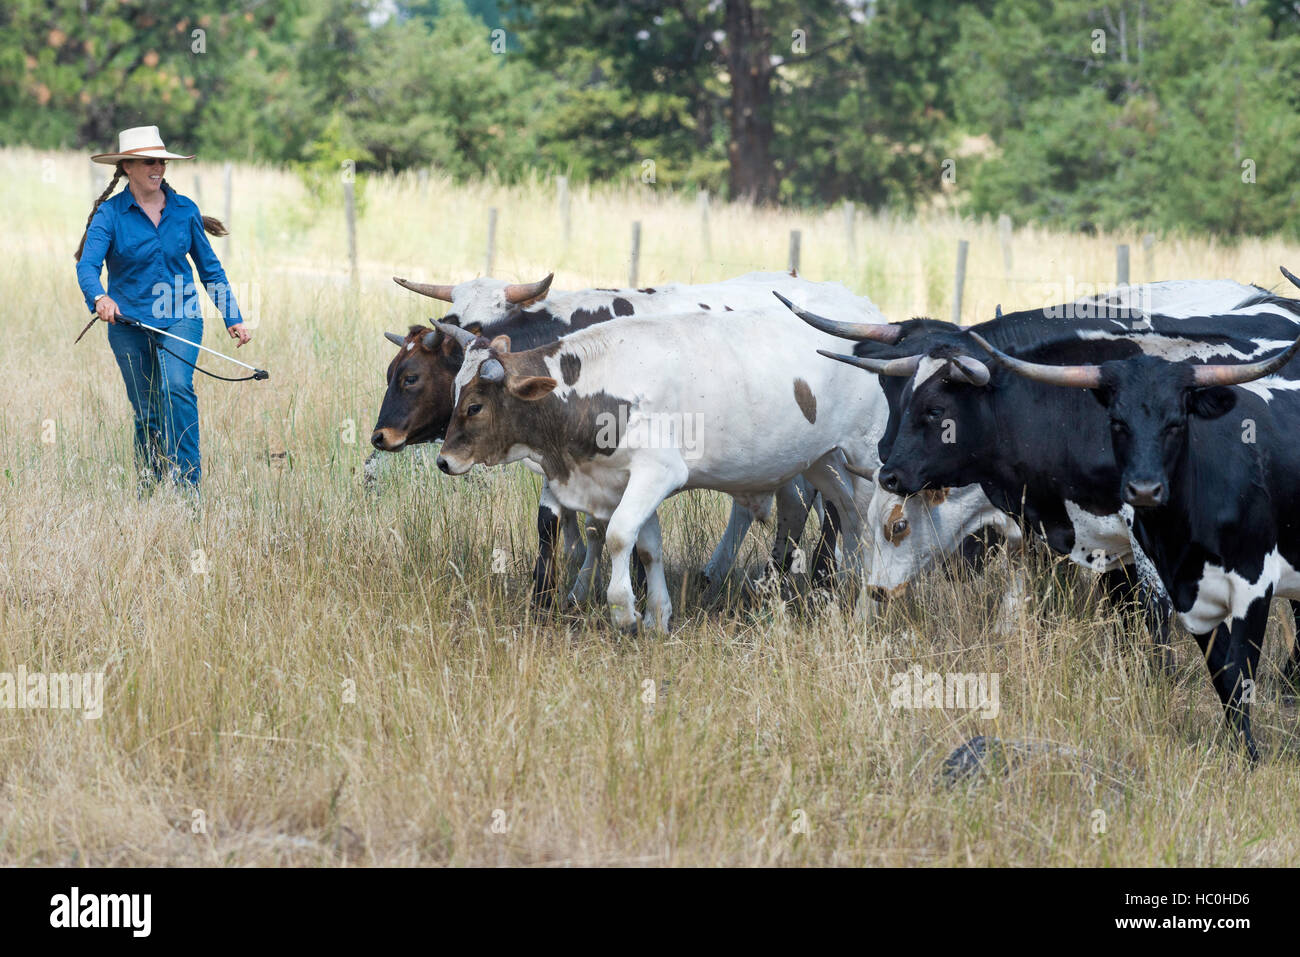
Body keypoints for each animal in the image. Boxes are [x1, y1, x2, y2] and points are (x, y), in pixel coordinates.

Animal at [374, 272, 883, 606]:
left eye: (411, 377)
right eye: (391, 372)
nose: (381, 436)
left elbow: (586, 528)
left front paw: (587, 592)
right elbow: (566, 527)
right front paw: (556, 592)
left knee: (831, 507)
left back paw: (816, 576)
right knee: (795, 503)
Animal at [969, 279, 1300, 762]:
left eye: (1177, 422)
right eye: (1117, 422)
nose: (1144, 490)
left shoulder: (1254, 586)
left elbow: (1241, 676)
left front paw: (1250, 757)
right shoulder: (1189, 596)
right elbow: (1223, 678)